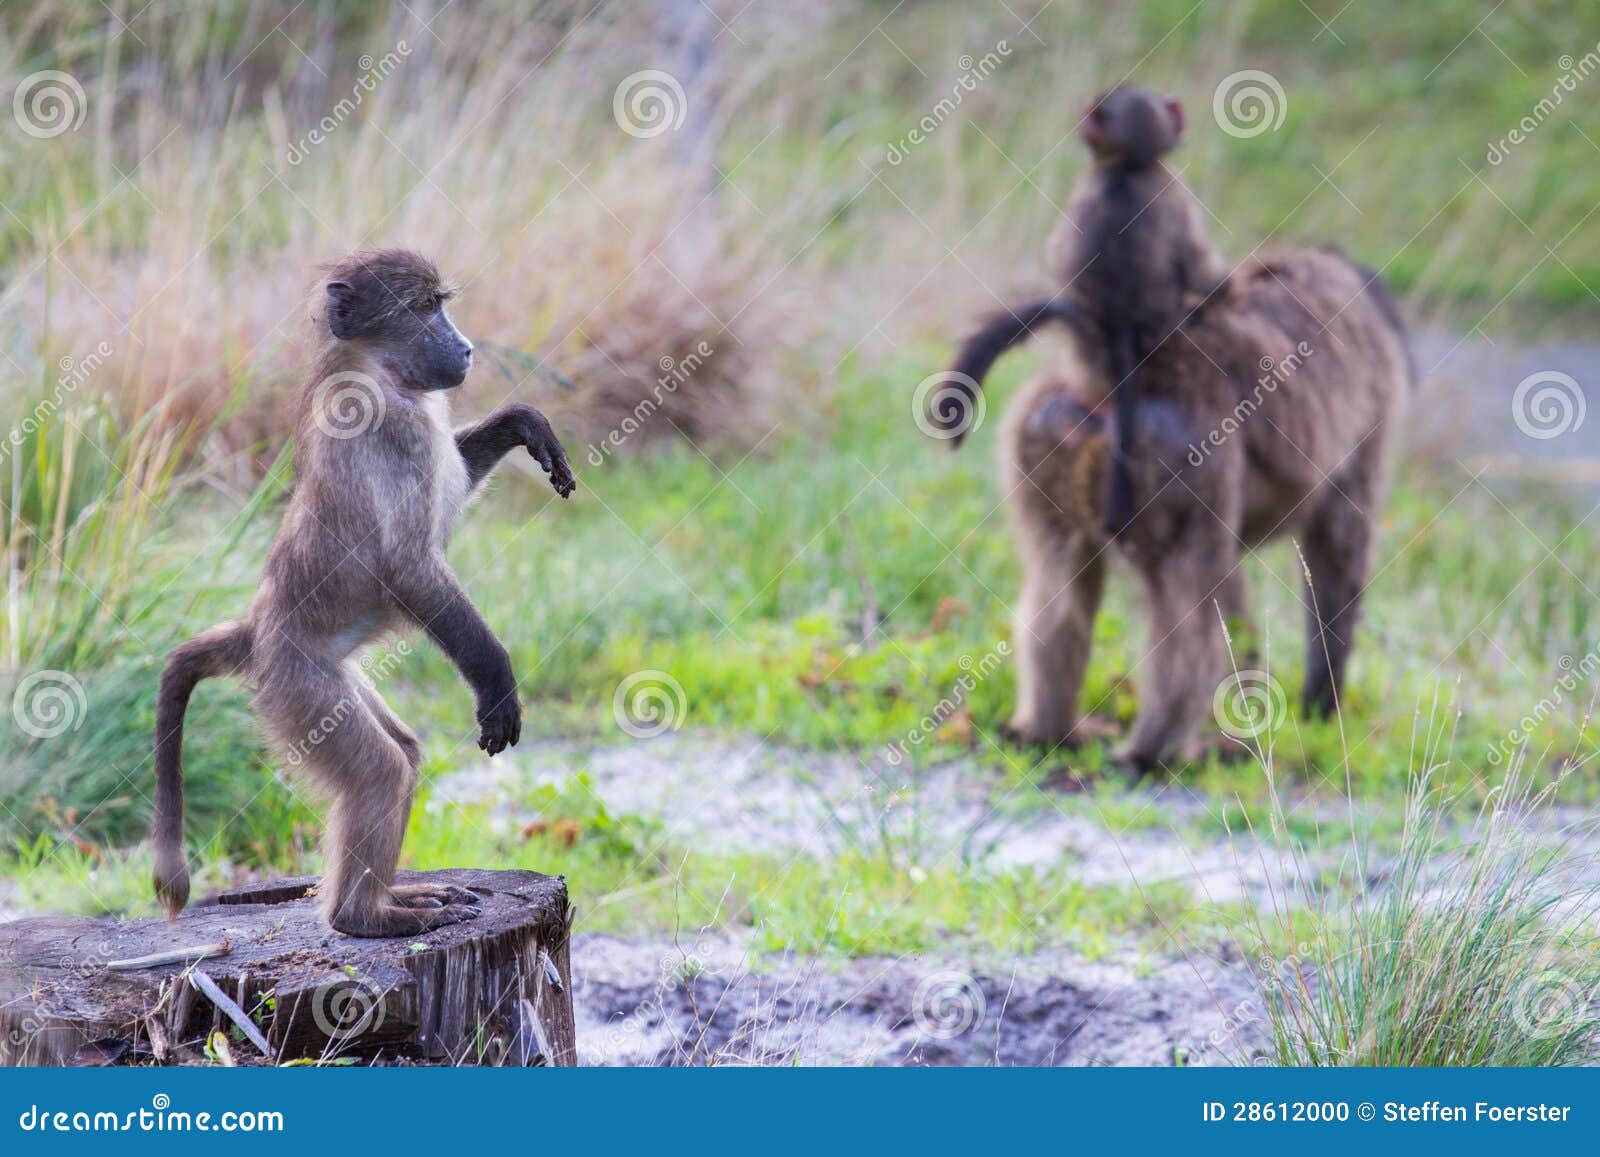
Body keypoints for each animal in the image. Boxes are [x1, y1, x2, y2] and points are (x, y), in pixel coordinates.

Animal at [153, 250, 576, 937]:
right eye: (424, 308)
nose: (466, 349)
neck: (375, 369)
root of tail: (257, 630)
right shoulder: (396, 431)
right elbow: (408, 564)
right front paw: (497, 685)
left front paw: (525, 424)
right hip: (299, 686)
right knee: (380, 770)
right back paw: (364, 917)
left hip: (327, 681)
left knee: (401, 752)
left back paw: (397, 898)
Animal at [952, 245, 1411, 770]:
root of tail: (1107, 376)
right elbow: (1338, 552)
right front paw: (1318, 707)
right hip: (1180, 461)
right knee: (1191, 620)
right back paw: (1153, 753)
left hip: (1047, 434)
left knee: (1062, 589)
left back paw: (1051, 734)